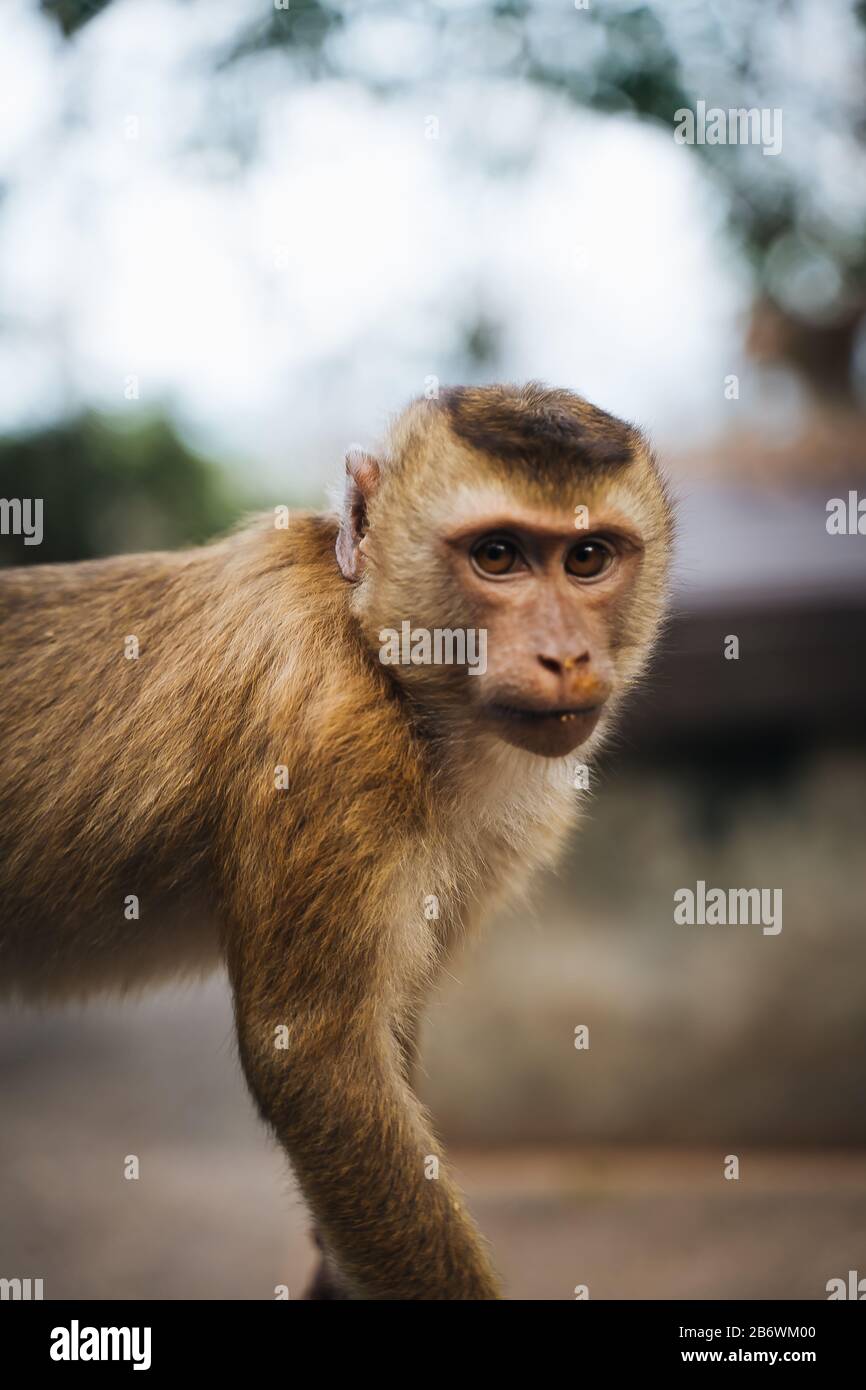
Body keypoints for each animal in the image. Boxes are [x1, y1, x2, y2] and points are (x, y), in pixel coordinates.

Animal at [0, 383, 673, 1300]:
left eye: (589, 558)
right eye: (498, 556)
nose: (565, 656)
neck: (383, 657)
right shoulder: (328, 738)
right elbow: (316, 1065)